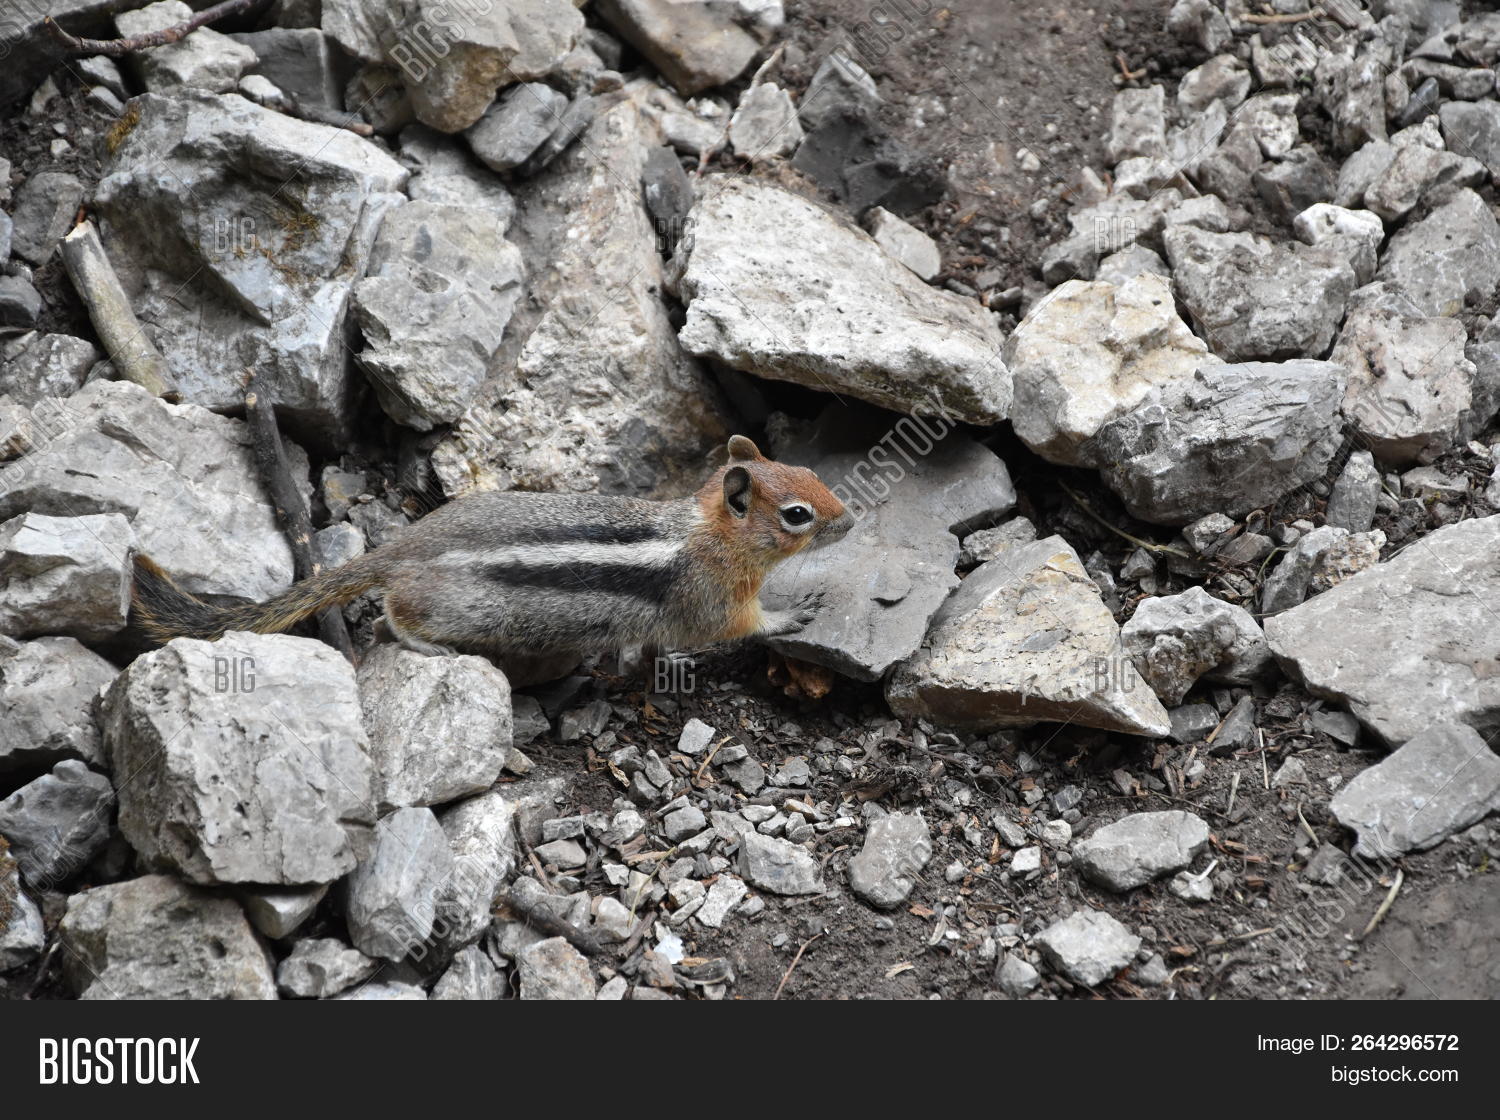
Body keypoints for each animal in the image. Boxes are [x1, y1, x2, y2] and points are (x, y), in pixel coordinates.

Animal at [130, 436, 853, 664]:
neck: (708, 532)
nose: (850, 521)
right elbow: (743, 626)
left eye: (806, 471)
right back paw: (427, 646)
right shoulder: (711, 601)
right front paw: (793, 612)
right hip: (459, 608)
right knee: (397, 612)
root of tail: (404, 546)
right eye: (797, 515)